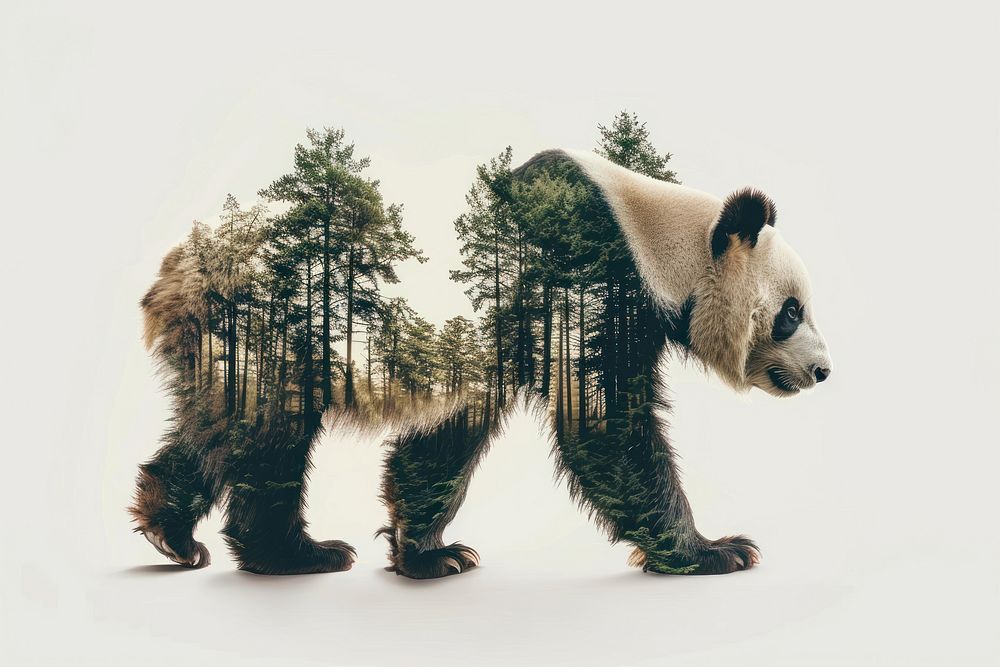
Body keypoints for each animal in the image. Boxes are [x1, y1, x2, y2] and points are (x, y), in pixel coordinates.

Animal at [131, 148, 831, 578]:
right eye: (791, 311)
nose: (823, 371)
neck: (654, 237)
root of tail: (176, 274)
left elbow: (447, 435)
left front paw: (429, 554)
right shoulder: (579, 277)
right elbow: (603, 425)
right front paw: (716, 551)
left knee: (220, 429)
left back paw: (179, 530)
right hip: (277, 319)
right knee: (268, 438)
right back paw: (283, 551)